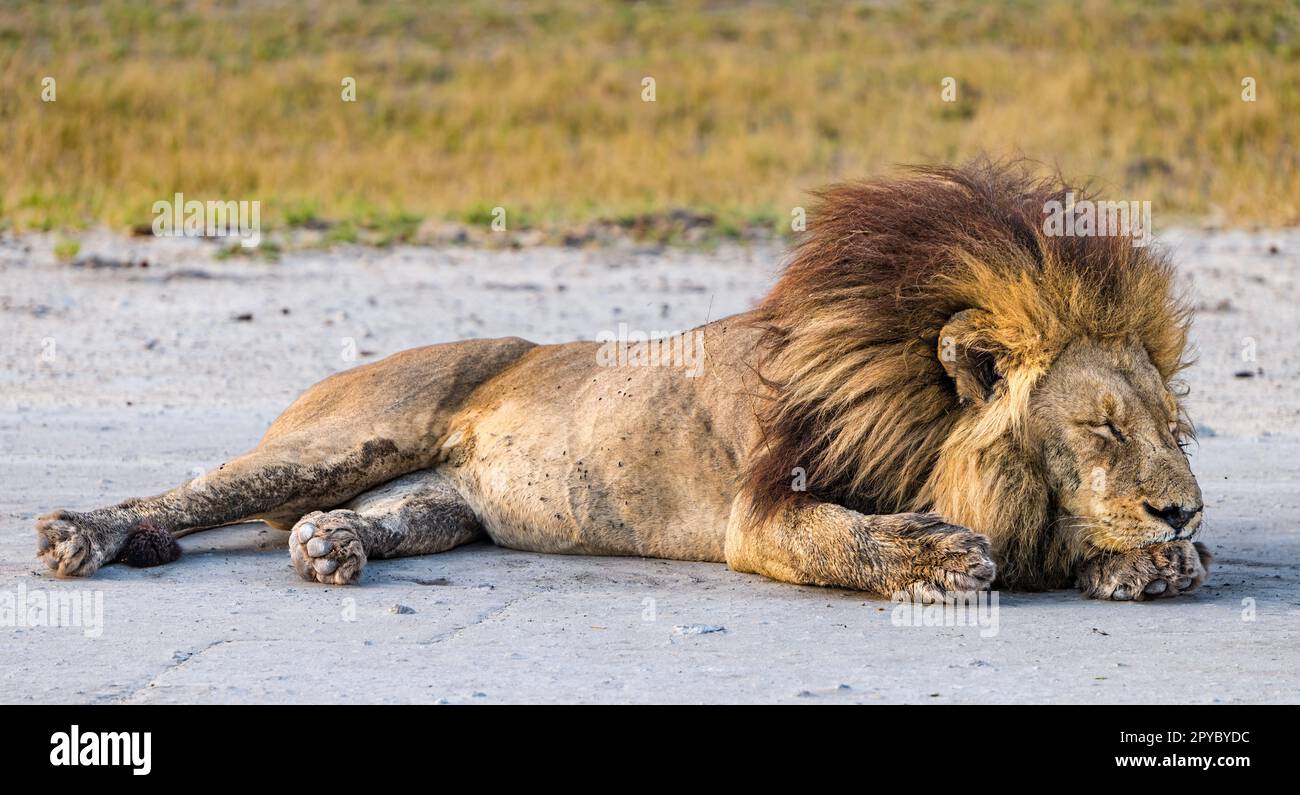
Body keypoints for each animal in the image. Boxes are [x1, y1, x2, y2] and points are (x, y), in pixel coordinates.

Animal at [32, 163, 1206, 602]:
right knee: (190, 492)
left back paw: (331, 545)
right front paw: (937, 556)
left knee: (385, 515)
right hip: (349, 432)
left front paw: (1156, 561)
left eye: (1170, 426)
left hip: (448, 501)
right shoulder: (759, 511)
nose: (1186, 508)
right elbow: (842, 539)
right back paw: (80, 534)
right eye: (1102, 428)